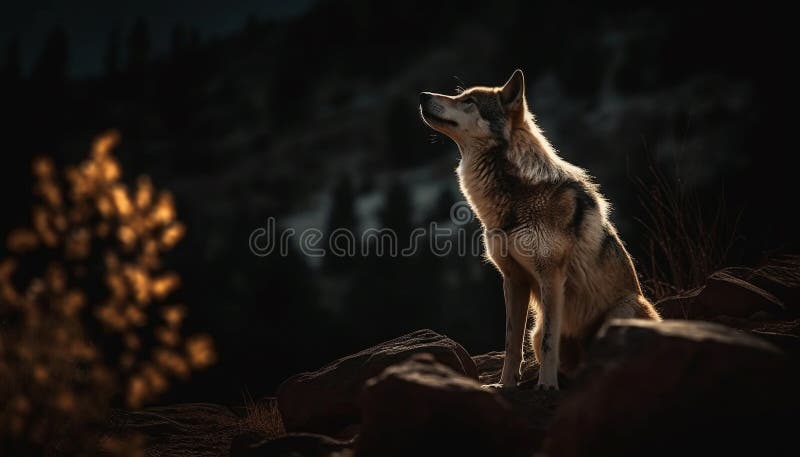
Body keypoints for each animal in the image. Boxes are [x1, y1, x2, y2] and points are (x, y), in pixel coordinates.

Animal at [419, 70, 660, 390]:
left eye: (469, 100)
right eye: (460, 95)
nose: (422, 95)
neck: (512, 199)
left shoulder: (551, 275)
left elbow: (549, 342)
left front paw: (546, 387)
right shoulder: (513, 280)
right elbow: (511, 343)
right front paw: (505, 385)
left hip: (621, 312)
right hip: (541, 327)